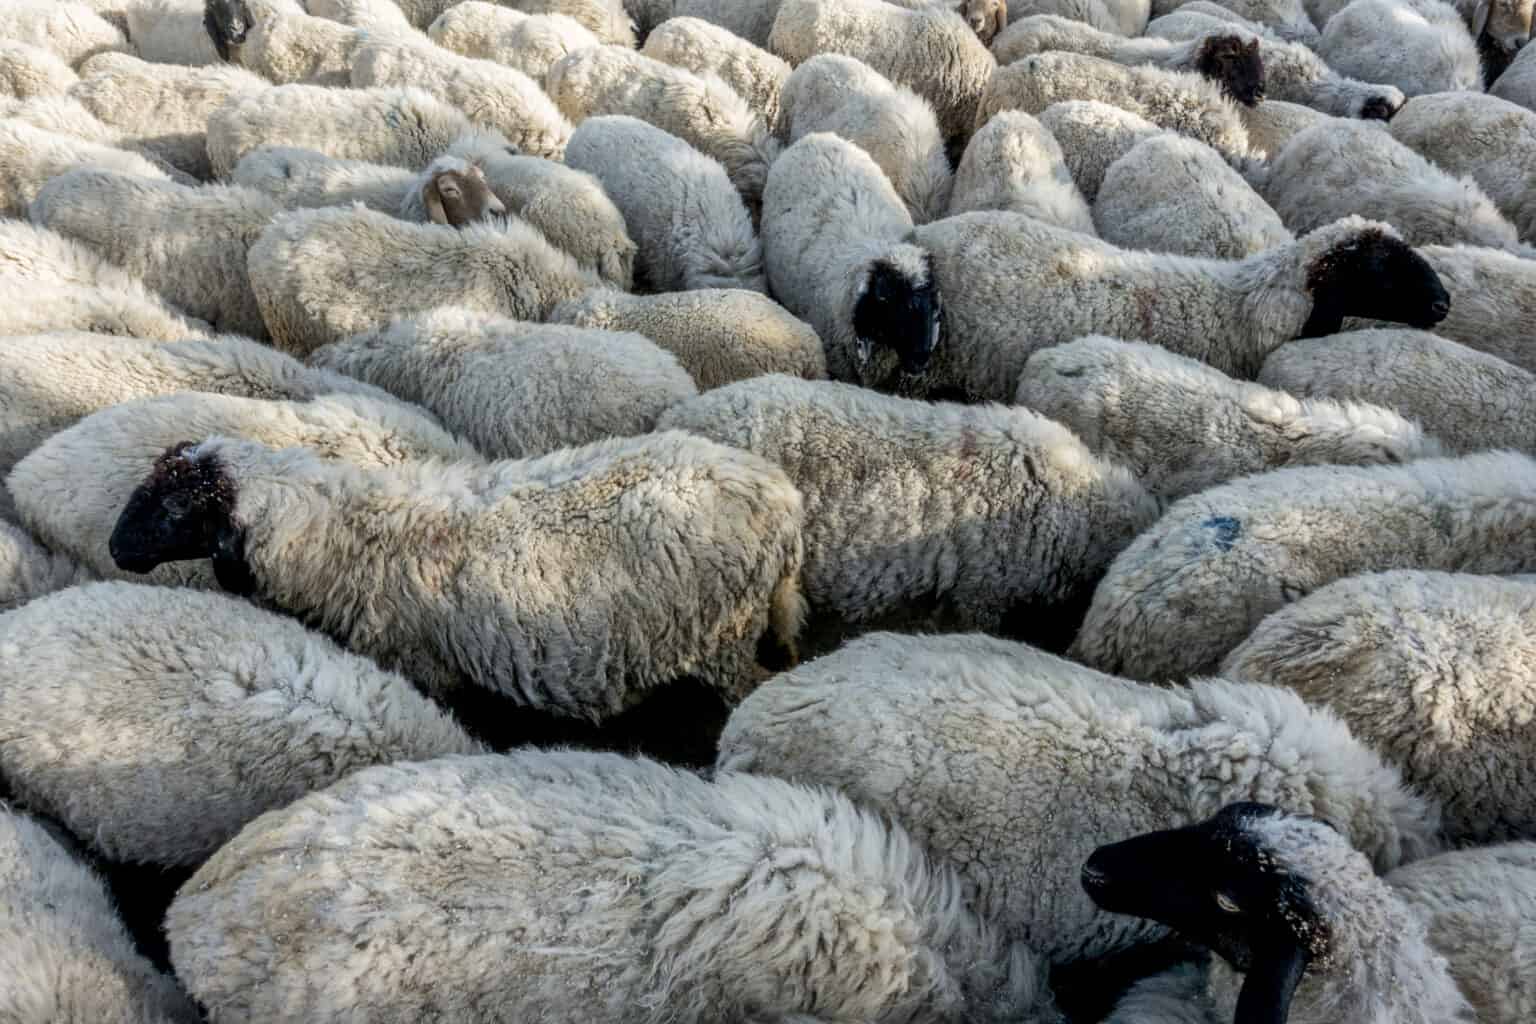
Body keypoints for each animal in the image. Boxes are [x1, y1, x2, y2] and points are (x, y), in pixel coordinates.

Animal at [110, 430, 808, 715]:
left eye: (177, 508)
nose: (116, 549)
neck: (342, 536)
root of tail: (781, 497)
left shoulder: (423, 664)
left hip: (719, 634)